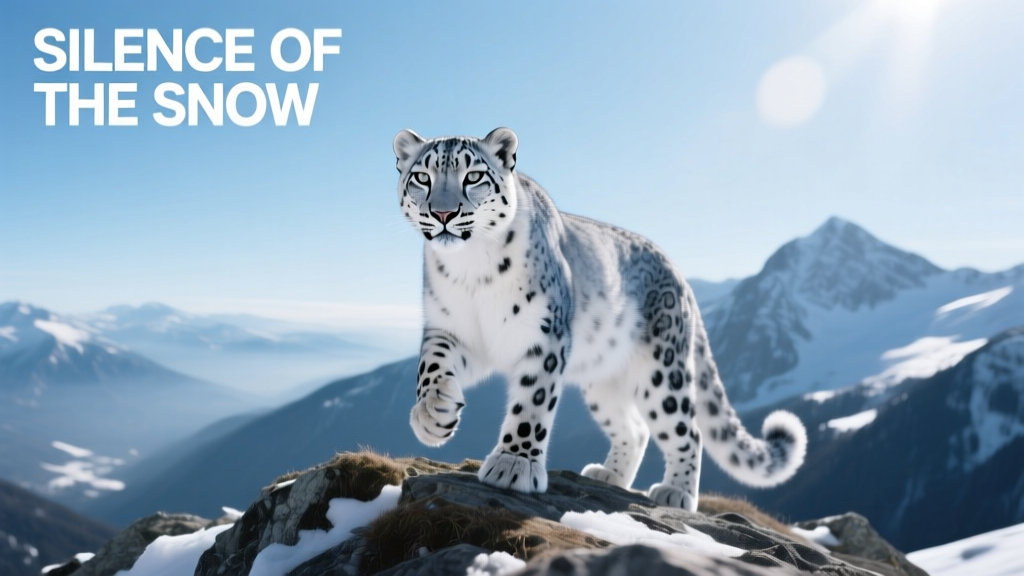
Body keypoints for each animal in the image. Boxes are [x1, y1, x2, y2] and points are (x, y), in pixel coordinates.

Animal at [392, 127, 807, 511]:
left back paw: (677, 493)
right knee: (635, 429)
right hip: (603, 381)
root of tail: (681, 276)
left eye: (474, 176)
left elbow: (532, 401)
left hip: (662, 371)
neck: (472, 271)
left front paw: (514, 464)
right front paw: (434, 412)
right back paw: (609, 474)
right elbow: (432, 364)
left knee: (687, 429)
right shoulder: (453, 328)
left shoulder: (545, 336)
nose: (443, 214)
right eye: (422, 178)